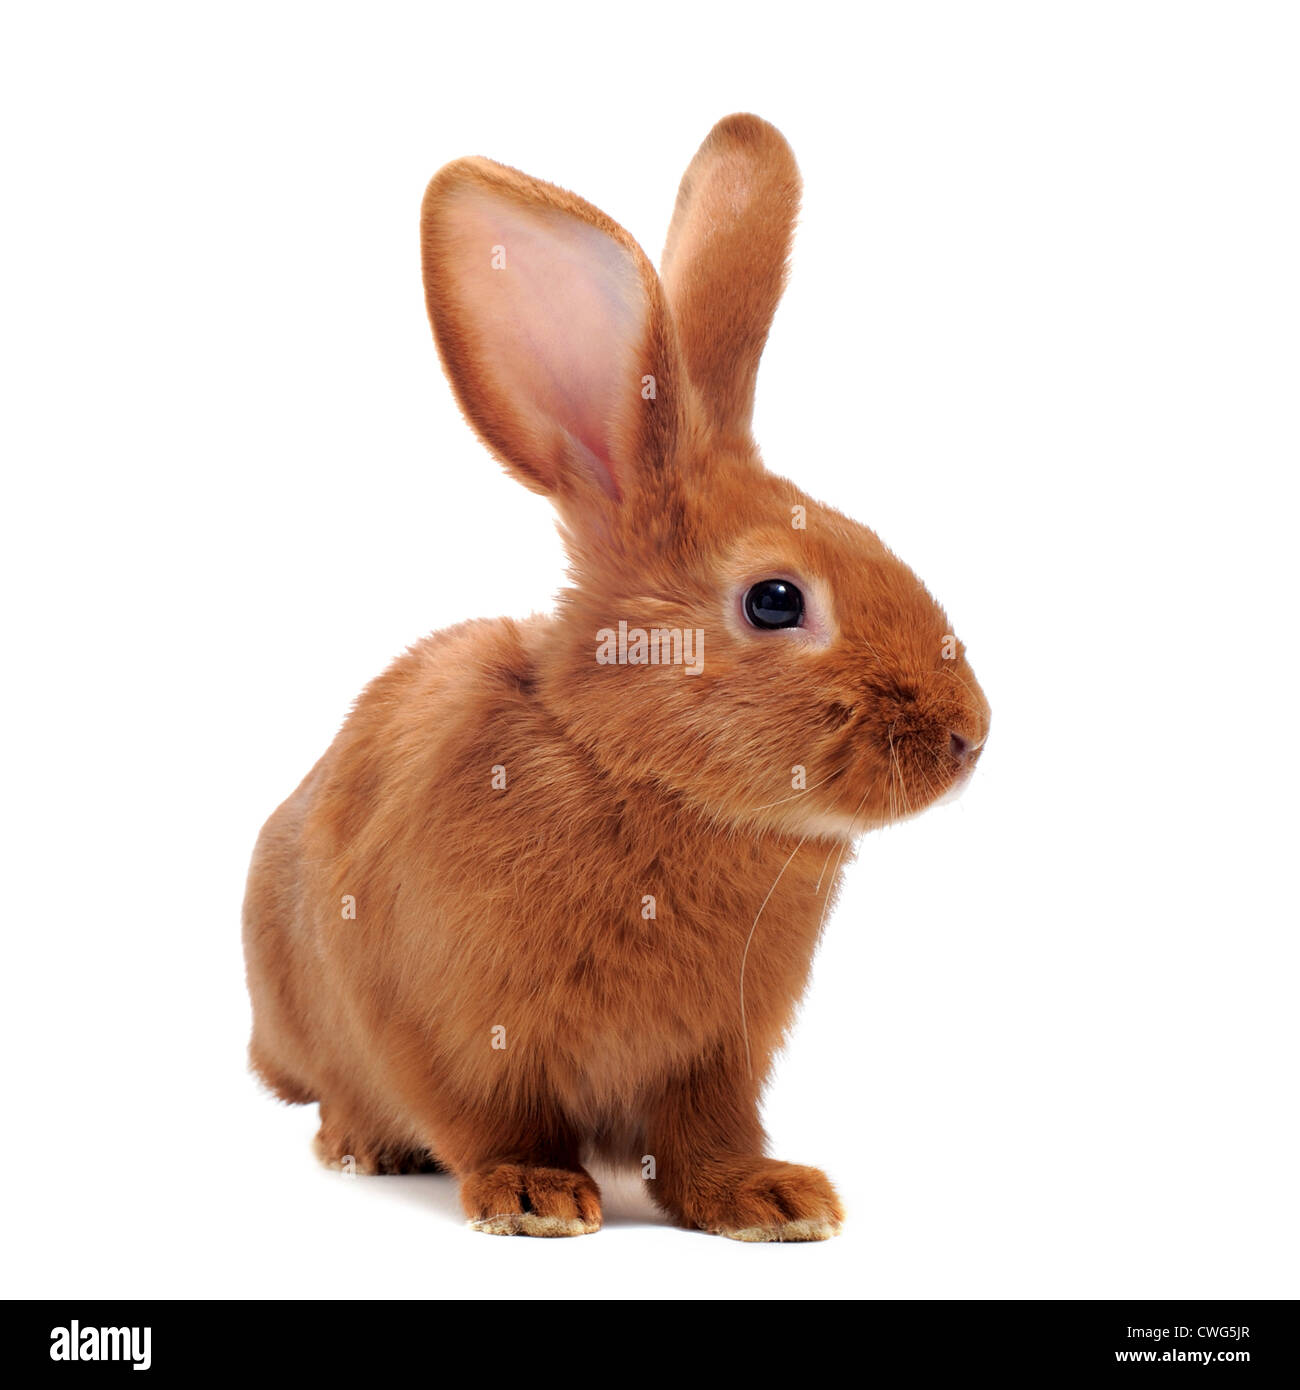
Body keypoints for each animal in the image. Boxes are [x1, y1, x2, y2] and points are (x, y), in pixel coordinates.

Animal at [242, 113, 990, 1241]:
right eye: (777, 599)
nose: (968, 735)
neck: (628, 774)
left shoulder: (717, 1057)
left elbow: (706, 1139)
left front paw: (770, 1198)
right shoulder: (446, 1020)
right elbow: (485, 1117)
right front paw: (532, 1194)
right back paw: (366, 1143)